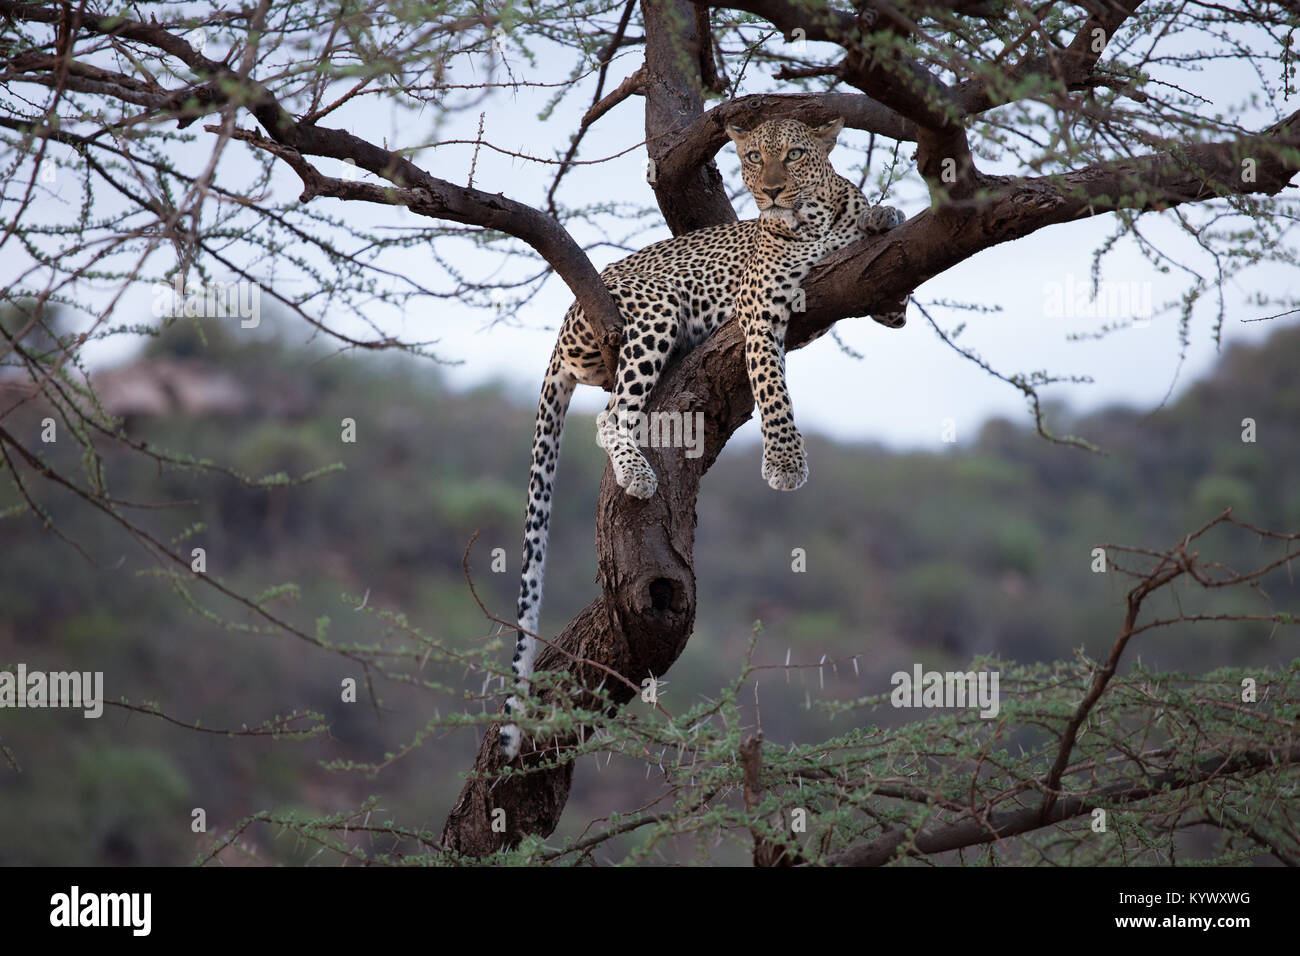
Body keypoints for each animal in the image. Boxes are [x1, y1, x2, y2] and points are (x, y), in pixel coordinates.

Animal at [499, 116, 906, 759]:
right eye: (751, 157)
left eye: (794, 154)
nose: (770, 192)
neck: (814, 215)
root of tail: (563, 325)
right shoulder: (762, 307)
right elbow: (772, 387)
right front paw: (785, 463)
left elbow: (886, 285)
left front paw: (881, 214)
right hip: (654, 310)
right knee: (609, 415)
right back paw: (638, 474)